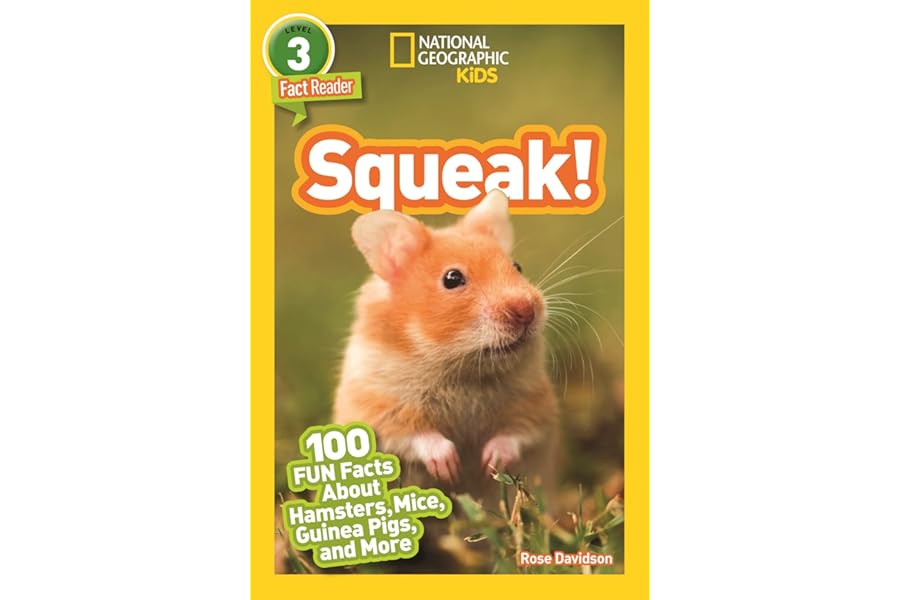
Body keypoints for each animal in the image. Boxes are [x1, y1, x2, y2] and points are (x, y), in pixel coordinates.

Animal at [333, 189, 558, 507]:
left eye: (517, 267)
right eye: (452, 278)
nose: (526, 310)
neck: (463, 369)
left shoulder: (536, 406)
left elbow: (516, 433)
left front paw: (489, 463)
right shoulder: (377, 407)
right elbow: (416, 435)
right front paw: (450, 469)